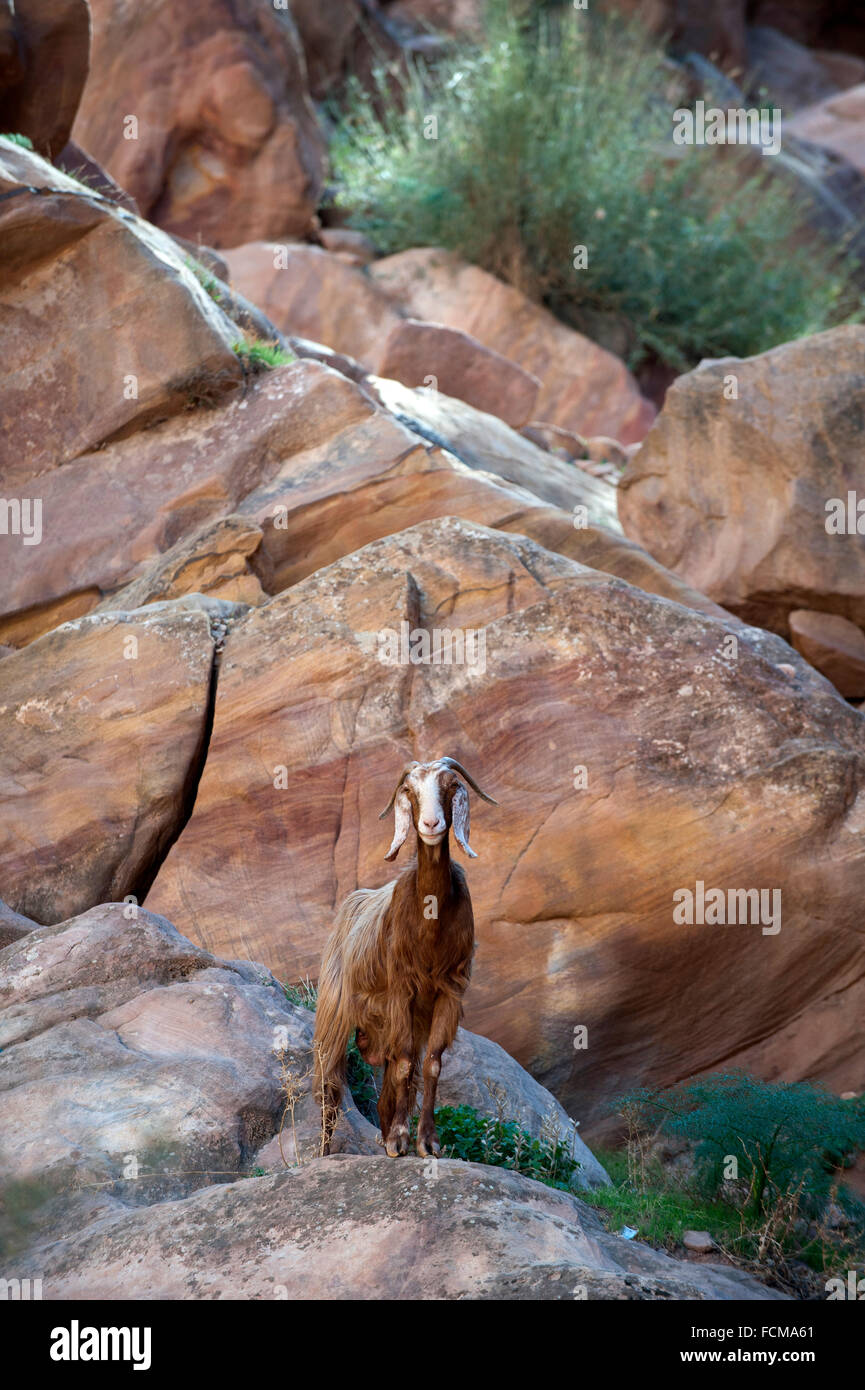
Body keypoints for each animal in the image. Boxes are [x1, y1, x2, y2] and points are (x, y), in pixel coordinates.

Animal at [313, 757, 497, 1158]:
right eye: (410, 790)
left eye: (450, 785)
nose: (431, 825)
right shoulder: (401, 990)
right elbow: (405, 1065)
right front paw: (399, 1138)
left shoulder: (449, 991)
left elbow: (430, 1065)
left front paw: (426, 1142)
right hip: (335, 1009)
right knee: (329, 1084)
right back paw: (324, 1152)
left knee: (387, 1085)